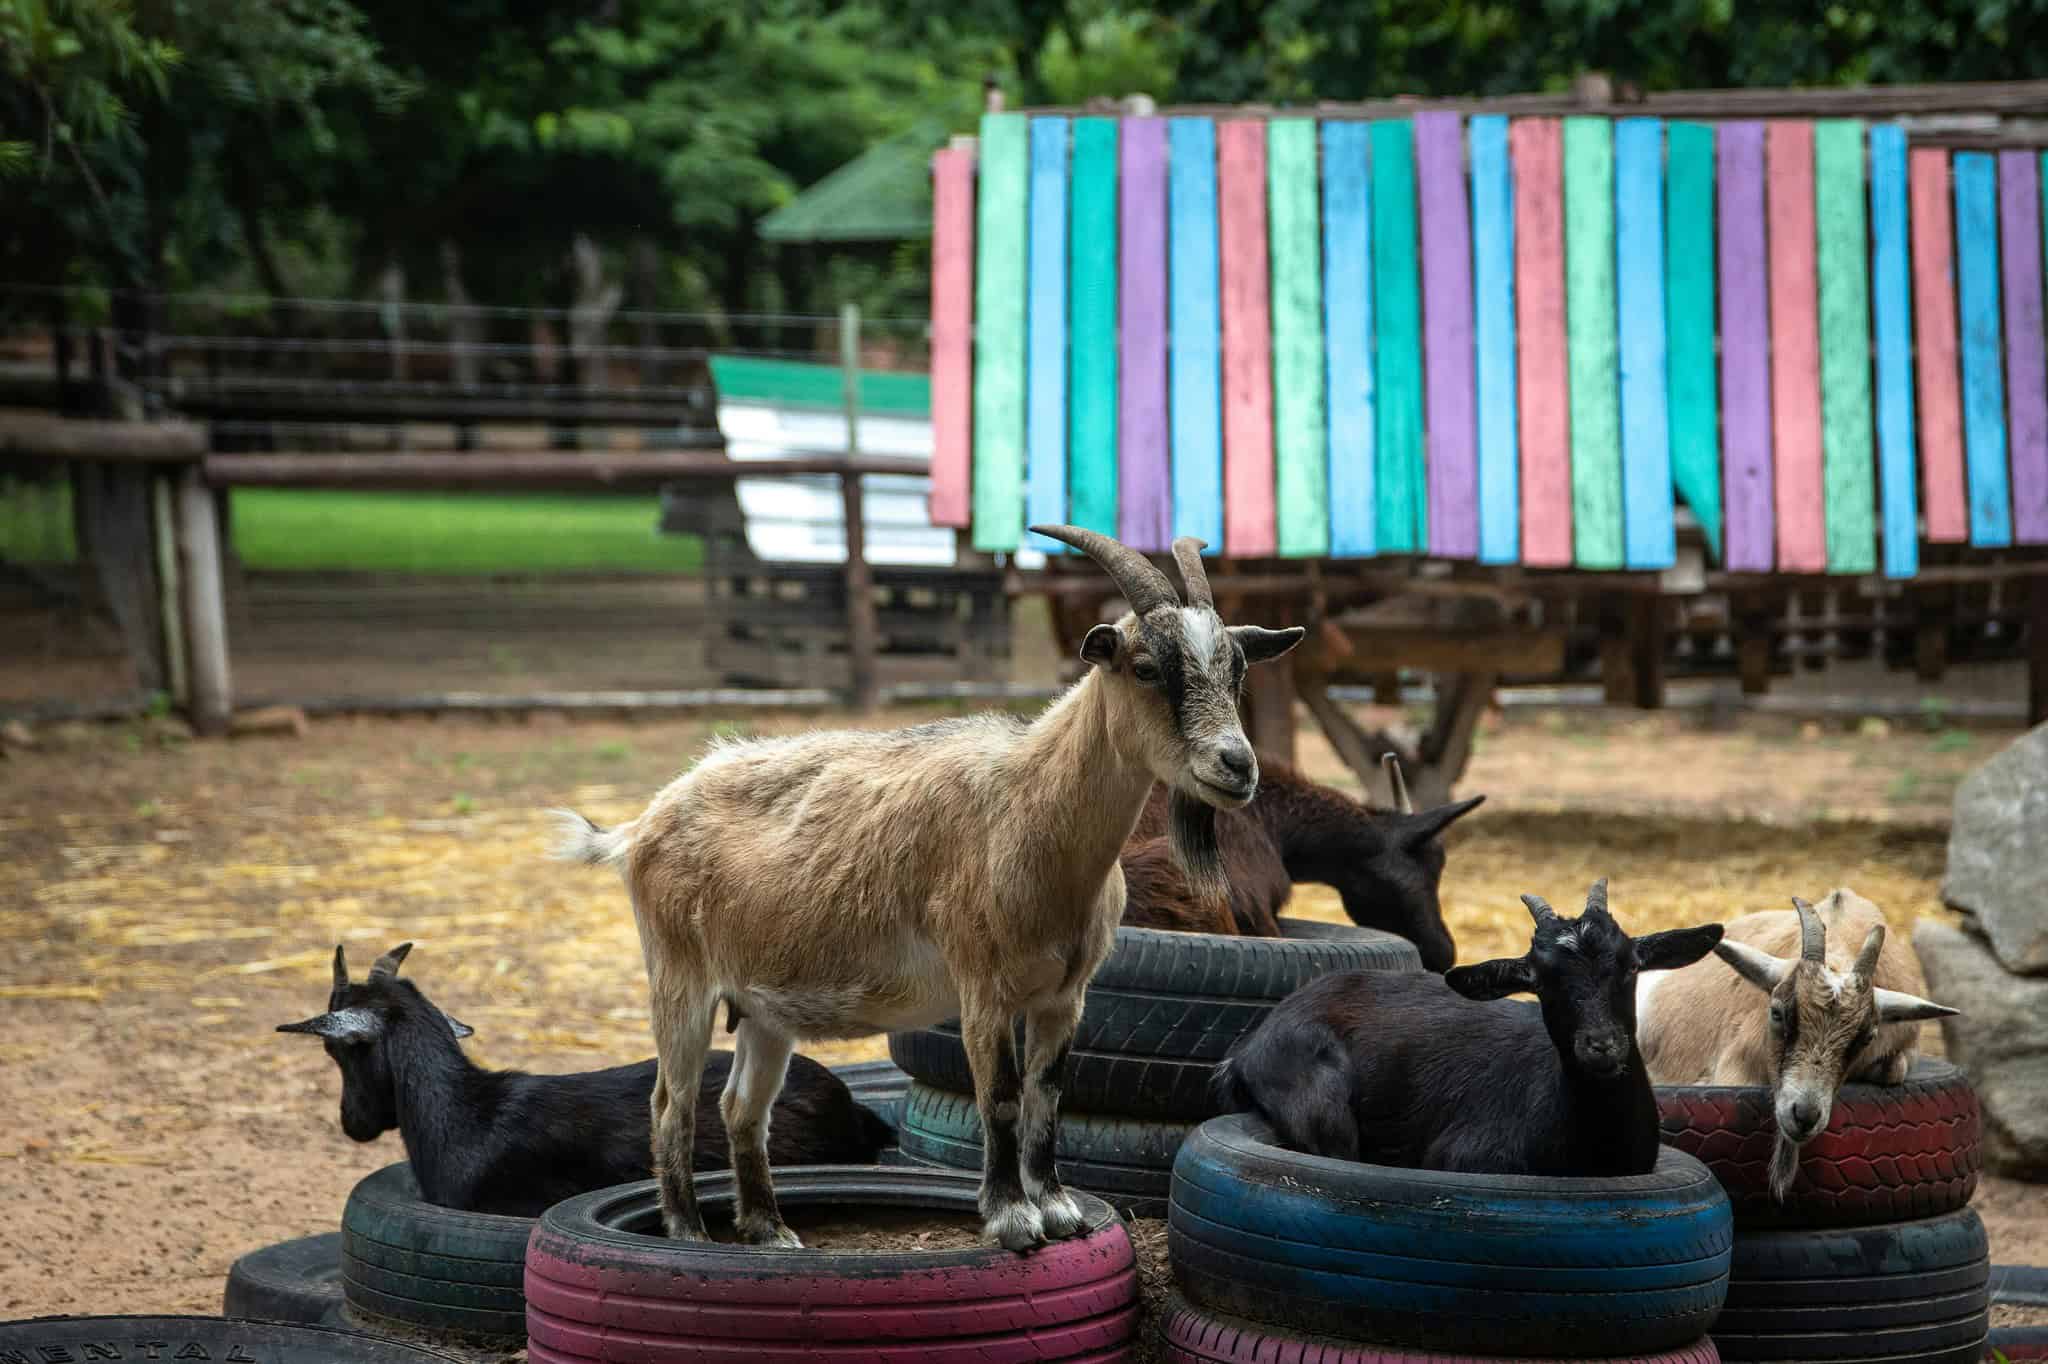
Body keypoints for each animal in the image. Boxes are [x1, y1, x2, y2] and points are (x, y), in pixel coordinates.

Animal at [551, 526, 1303, 1251]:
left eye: (1236, 669)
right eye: (1146, 668)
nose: (1236, 766)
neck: (1028, 808)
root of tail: (642, 824)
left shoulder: (1065, 996)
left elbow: (1048, 1095)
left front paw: (1060, 1209)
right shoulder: (982, 986)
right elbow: (1001, 1096)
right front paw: (1012, 1220)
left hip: (763, 1008)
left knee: (740, 1106)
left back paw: (769, 1229)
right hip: (678, 977)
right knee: (671, 1103)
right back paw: (686, 1229)